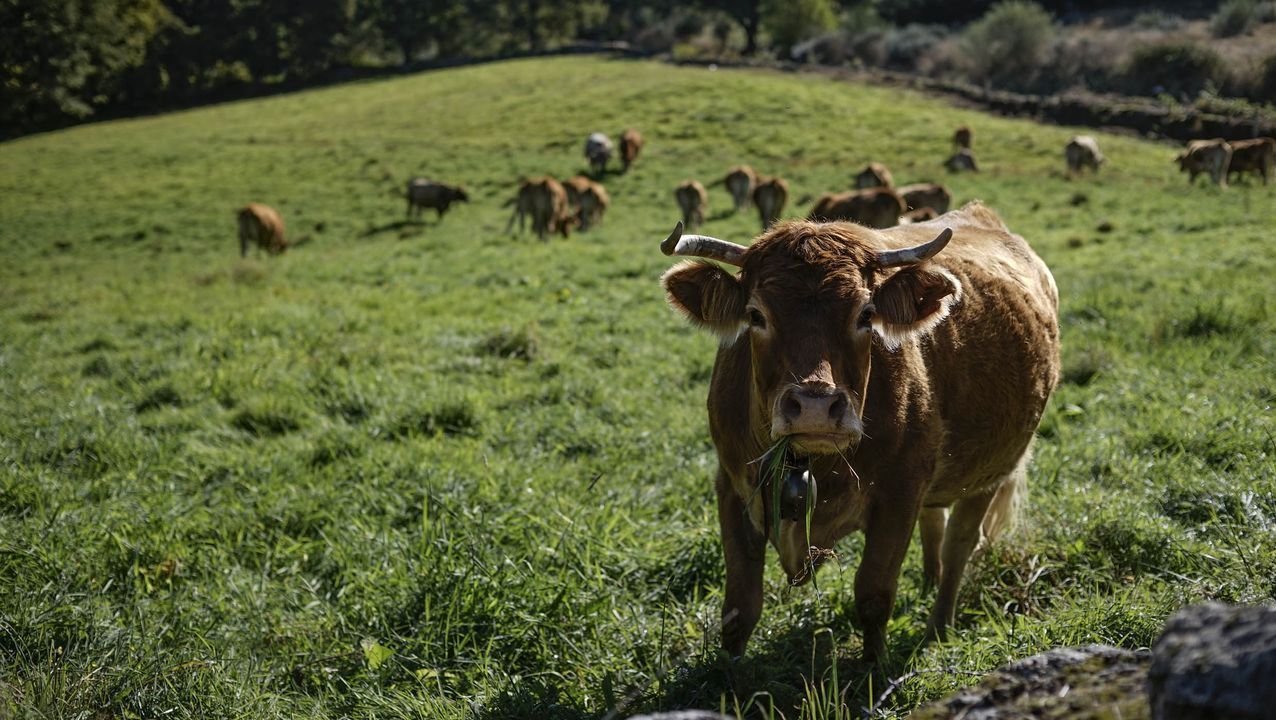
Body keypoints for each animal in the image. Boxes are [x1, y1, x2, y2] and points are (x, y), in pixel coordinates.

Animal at [658, 201, 1060, 661]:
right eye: (756, 315)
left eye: (865, 315)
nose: (815, 408)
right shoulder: (732, 487)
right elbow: (739, 609)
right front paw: (728, 674)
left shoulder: (899, 495)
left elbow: (873, 595)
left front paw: (872, 670)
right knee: (936, 520)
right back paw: (928, 580)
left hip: (990, 472)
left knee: (960, 541)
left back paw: (938, 625)